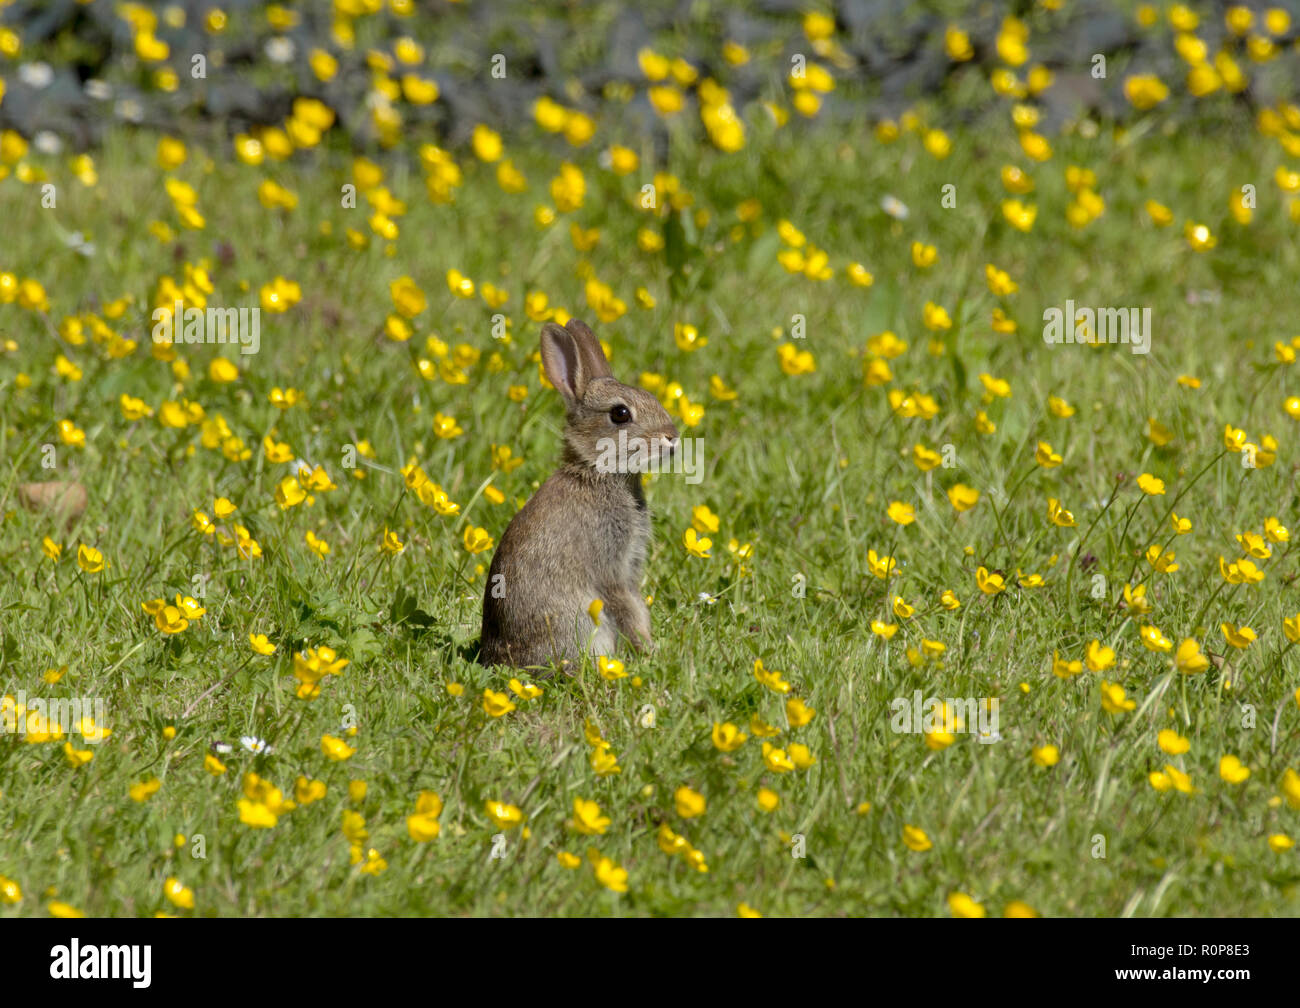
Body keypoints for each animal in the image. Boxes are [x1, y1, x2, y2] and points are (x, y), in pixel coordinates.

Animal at [479, 318, 680, 668]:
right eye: (620, 414)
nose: (672, 436)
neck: (597, 473)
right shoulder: (610, 568)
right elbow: (627, 606)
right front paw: (648, 649)